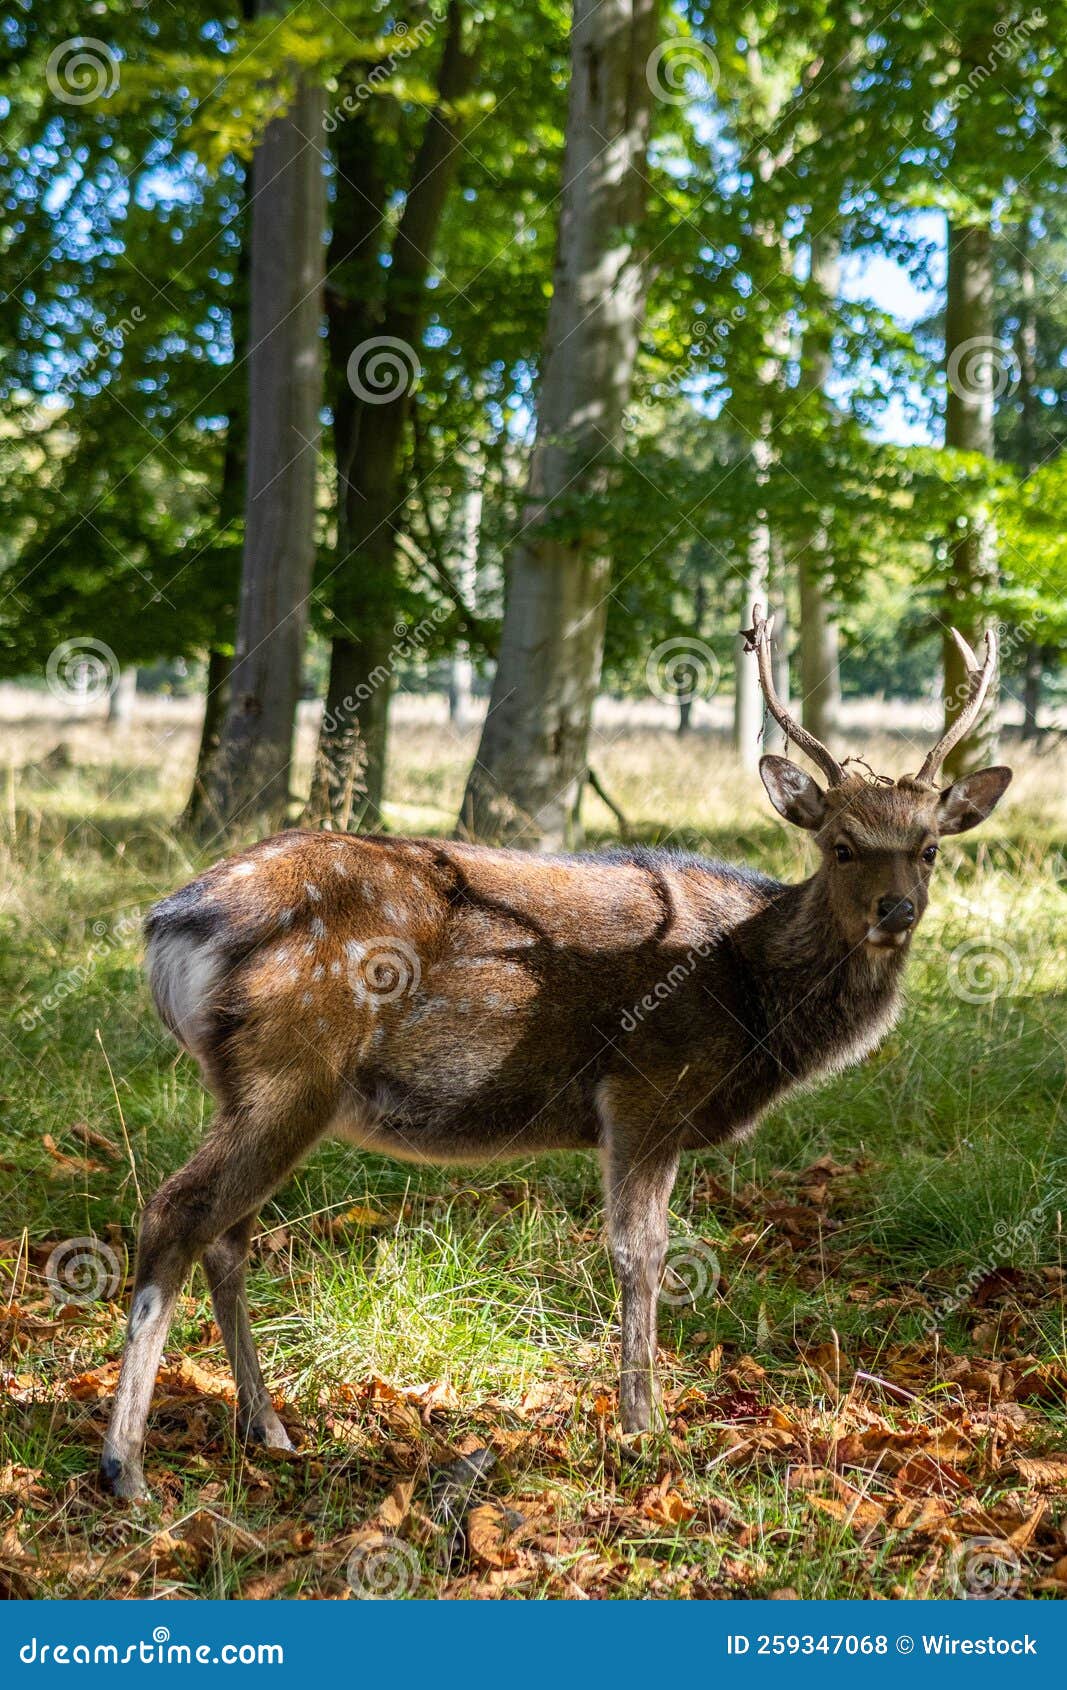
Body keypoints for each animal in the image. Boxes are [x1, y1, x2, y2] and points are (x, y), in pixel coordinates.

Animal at [100, 608, 1011, 1499]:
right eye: (840, 844)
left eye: (929, 846)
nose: (895, 910)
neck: (751, 998)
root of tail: (169, 923)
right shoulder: (646, 1087)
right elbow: (641, 1253)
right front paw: (646, 1427)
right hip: (291, 1066)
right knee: (177, 1210)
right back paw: (127, 1467)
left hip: (256, 1085)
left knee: (228, 1235)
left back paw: (268, 1427)